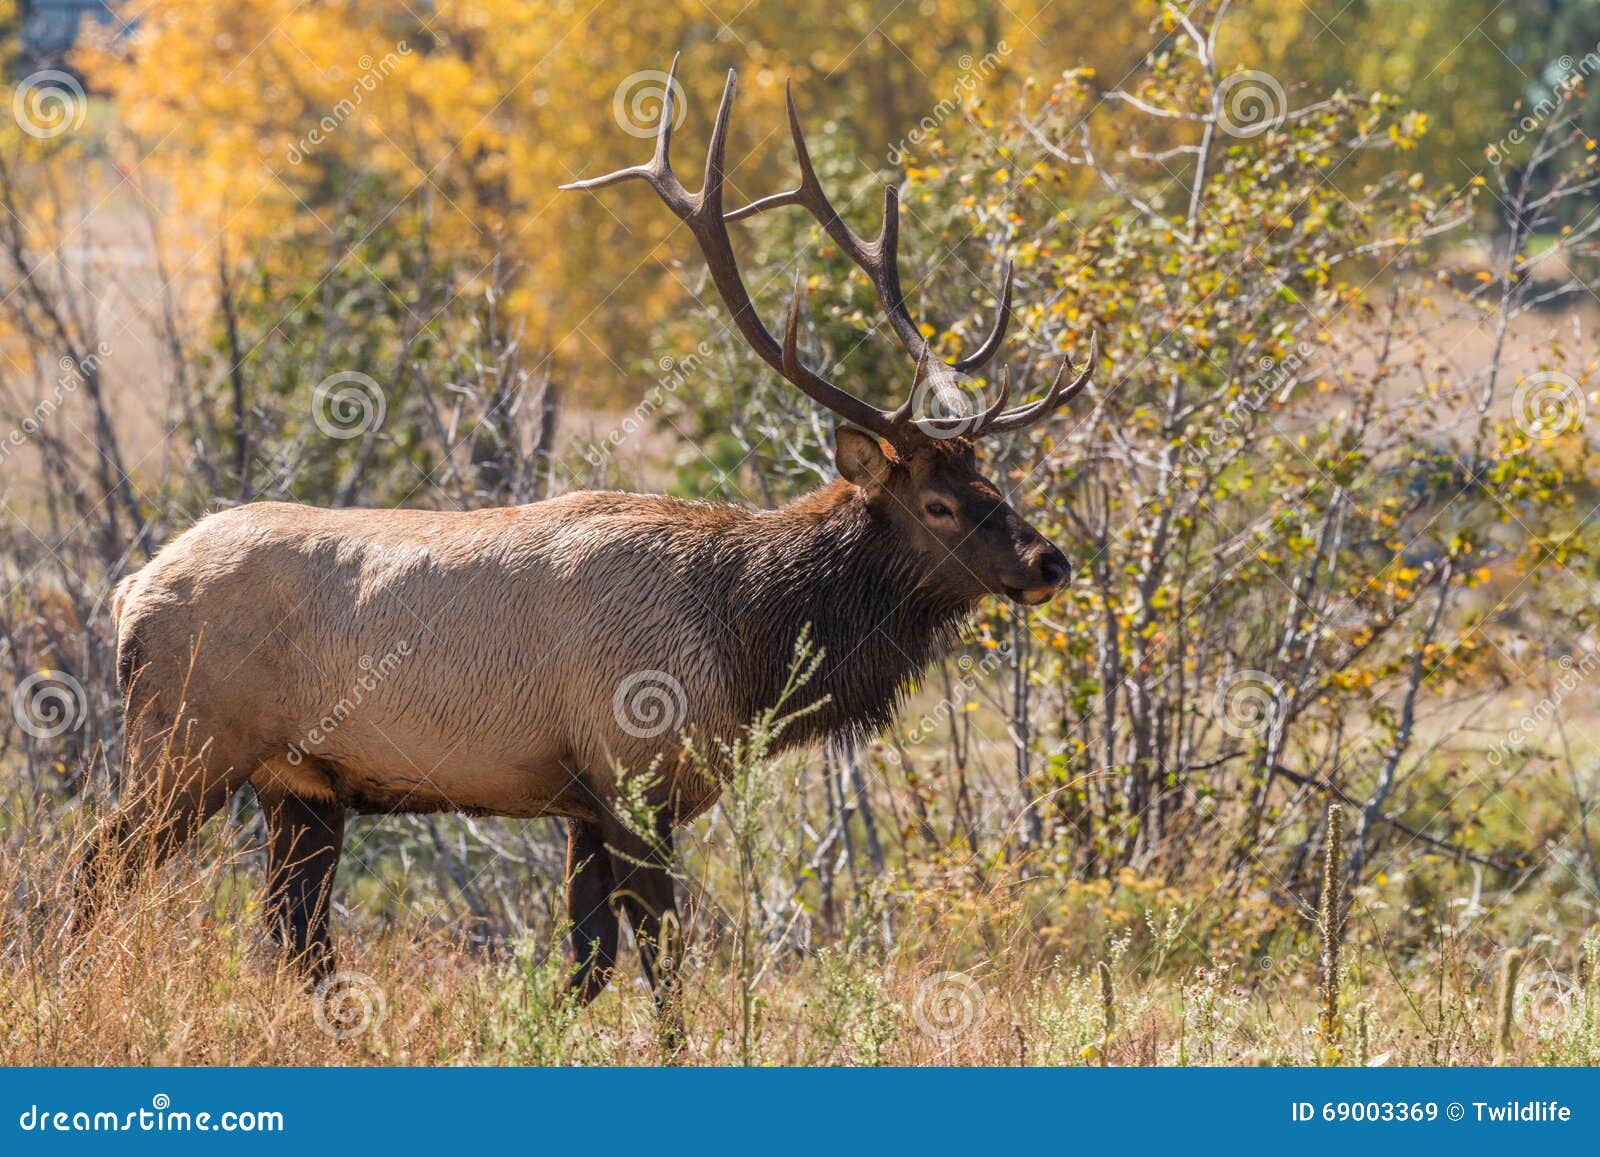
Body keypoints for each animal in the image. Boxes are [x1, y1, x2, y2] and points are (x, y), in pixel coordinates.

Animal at [72, 60, 1094, 1046]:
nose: (1052, 562)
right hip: (187, 743)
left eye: (994, 478)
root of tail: (128, 593)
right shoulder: (630, 773)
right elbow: (663, 962)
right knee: (97, 865)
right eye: (939, 503)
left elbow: (588, 964)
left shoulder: (582, 803)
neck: (746, 643)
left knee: (295, 931)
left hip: (302, 785)